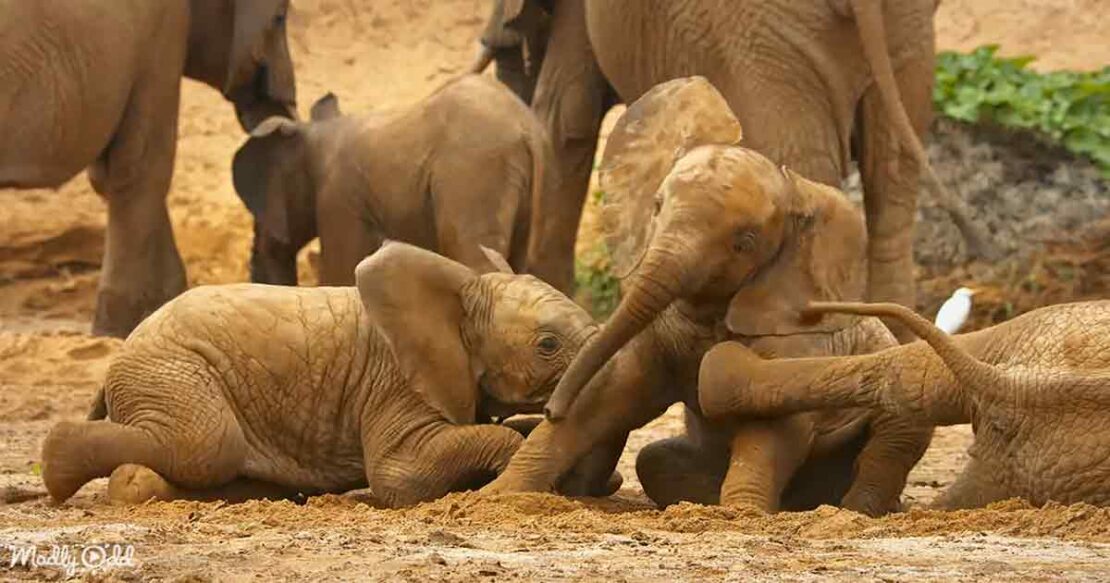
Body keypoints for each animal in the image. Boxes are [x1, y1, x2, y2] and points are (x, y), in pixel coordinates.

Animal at [40, 242, 603, 508]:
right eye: (548, 345)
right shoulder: (397, 380)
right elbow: (401, 473)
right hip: (171, 371)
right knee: (208, 444)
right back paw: (57, 464)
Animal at [483, 78, 932, 517]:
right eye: (657, 205)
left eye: (744, 243)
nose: (549, 408)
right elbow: (608, 390)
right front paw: (496, 495)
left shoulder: (794, 333)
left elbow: (776, 420)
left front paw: (741, 513)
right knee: (655, 461)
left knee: (895, 437)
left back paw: (849, 509)